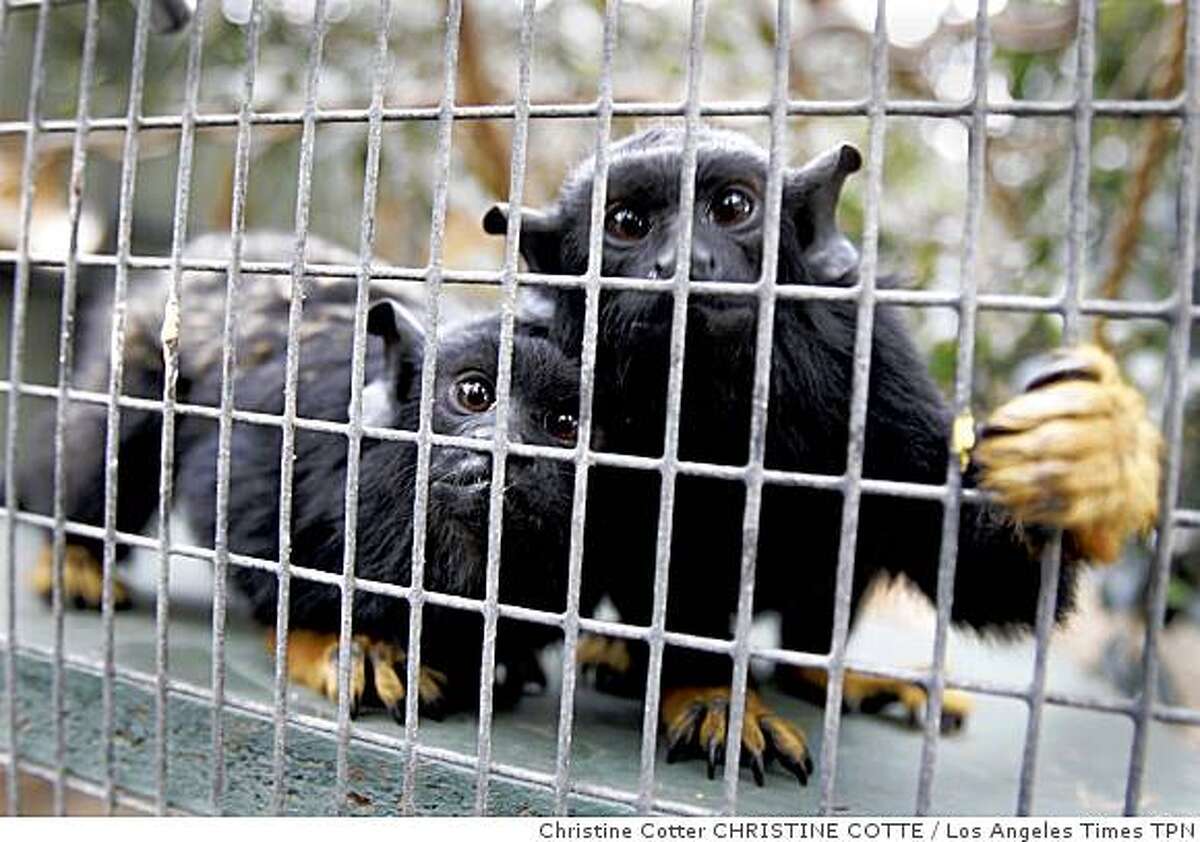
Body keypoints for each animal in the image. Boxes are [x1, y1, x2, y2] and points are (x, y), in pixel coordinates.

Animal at [18, 231, 582, 717]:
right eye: (473, 394)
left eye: (564, 423)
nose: (504, 451)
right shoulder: (307, 426)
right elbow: (239, 506)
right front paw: (349, 642)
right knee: (108, 435)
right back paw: (74, 553)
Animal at [483, 125, 1162, 788]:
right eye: (627, 222)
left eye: (732, 208)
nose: (683, 263)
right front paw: (709, 690)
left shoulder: (874, 357)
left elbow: (984, 577)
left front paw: (1096, 456)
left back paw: (820, 672)